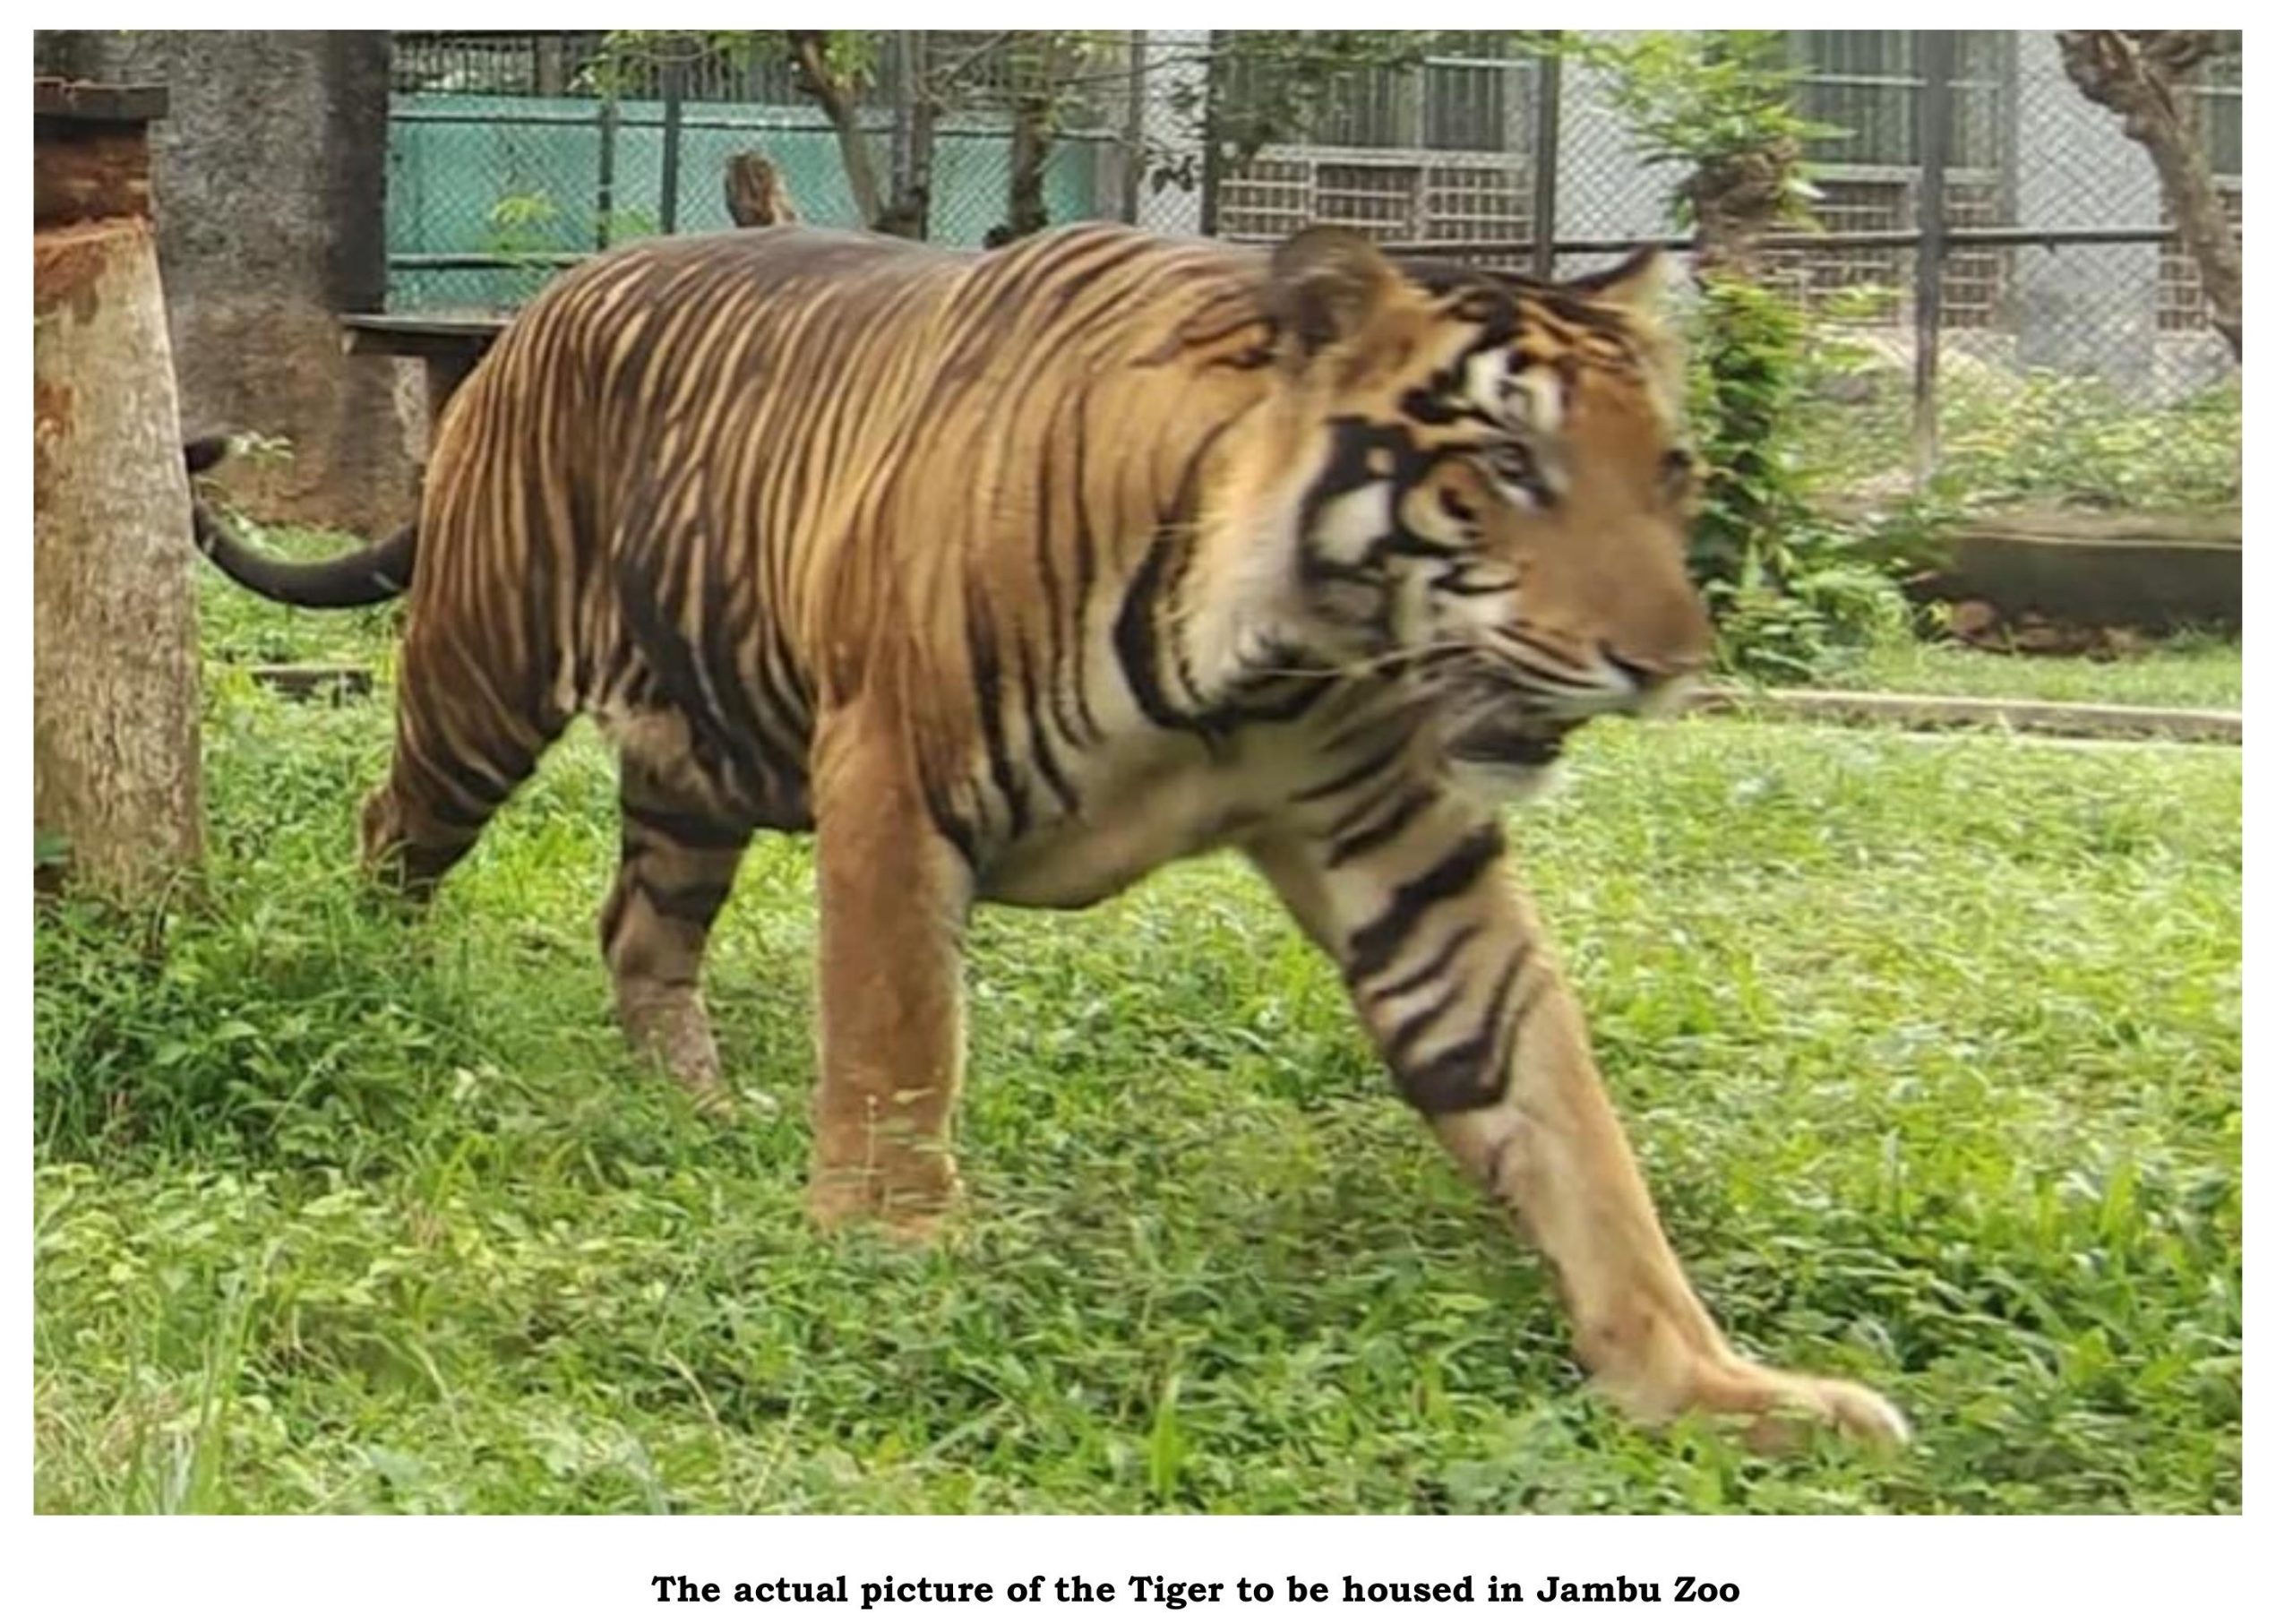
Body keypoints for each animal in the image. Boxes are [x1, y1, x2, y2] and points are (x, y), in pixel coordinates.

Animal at [190, 221, 1907, 1449]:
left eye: (1670, 469)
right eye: (1506, 465)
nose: (1667, 662)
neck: (1271, 663)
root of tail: (547, 299)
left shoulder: (1409, 852)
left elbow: (1563, 1121)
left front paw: (1714, 1385)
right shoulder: (894, 779)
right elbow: (897, 1043)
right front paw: (898, 1250)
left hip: (698, 750)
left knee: (641, 926)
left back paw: (700, 1109)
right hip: (483, 677)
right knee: (393, 831)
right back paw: (388, 987)